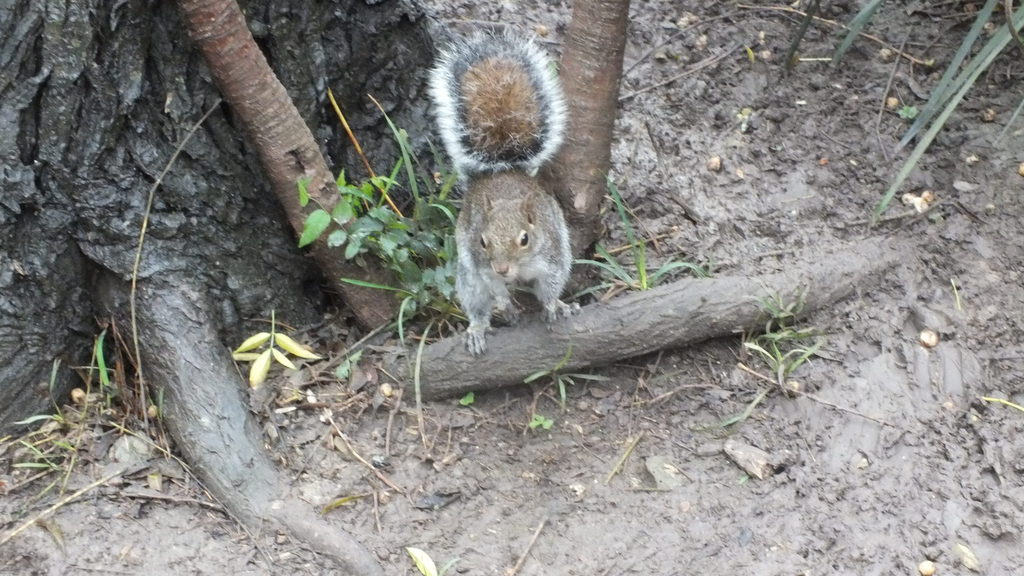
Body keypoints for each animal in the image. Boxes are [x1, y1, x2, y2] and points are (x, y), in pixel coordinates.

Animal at [429, 32, 578, 355]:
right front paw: (505, 306)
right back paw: (478, 328)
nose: (502, 268)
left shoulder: (551, 257)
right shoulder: (481, 265)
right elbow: (495, 288)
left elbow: (550, 285)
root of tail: (502, 169)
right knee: (477, 302)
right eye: (483, 241)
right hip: (468, 277)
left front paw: (552, 305)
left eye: (524, 239)